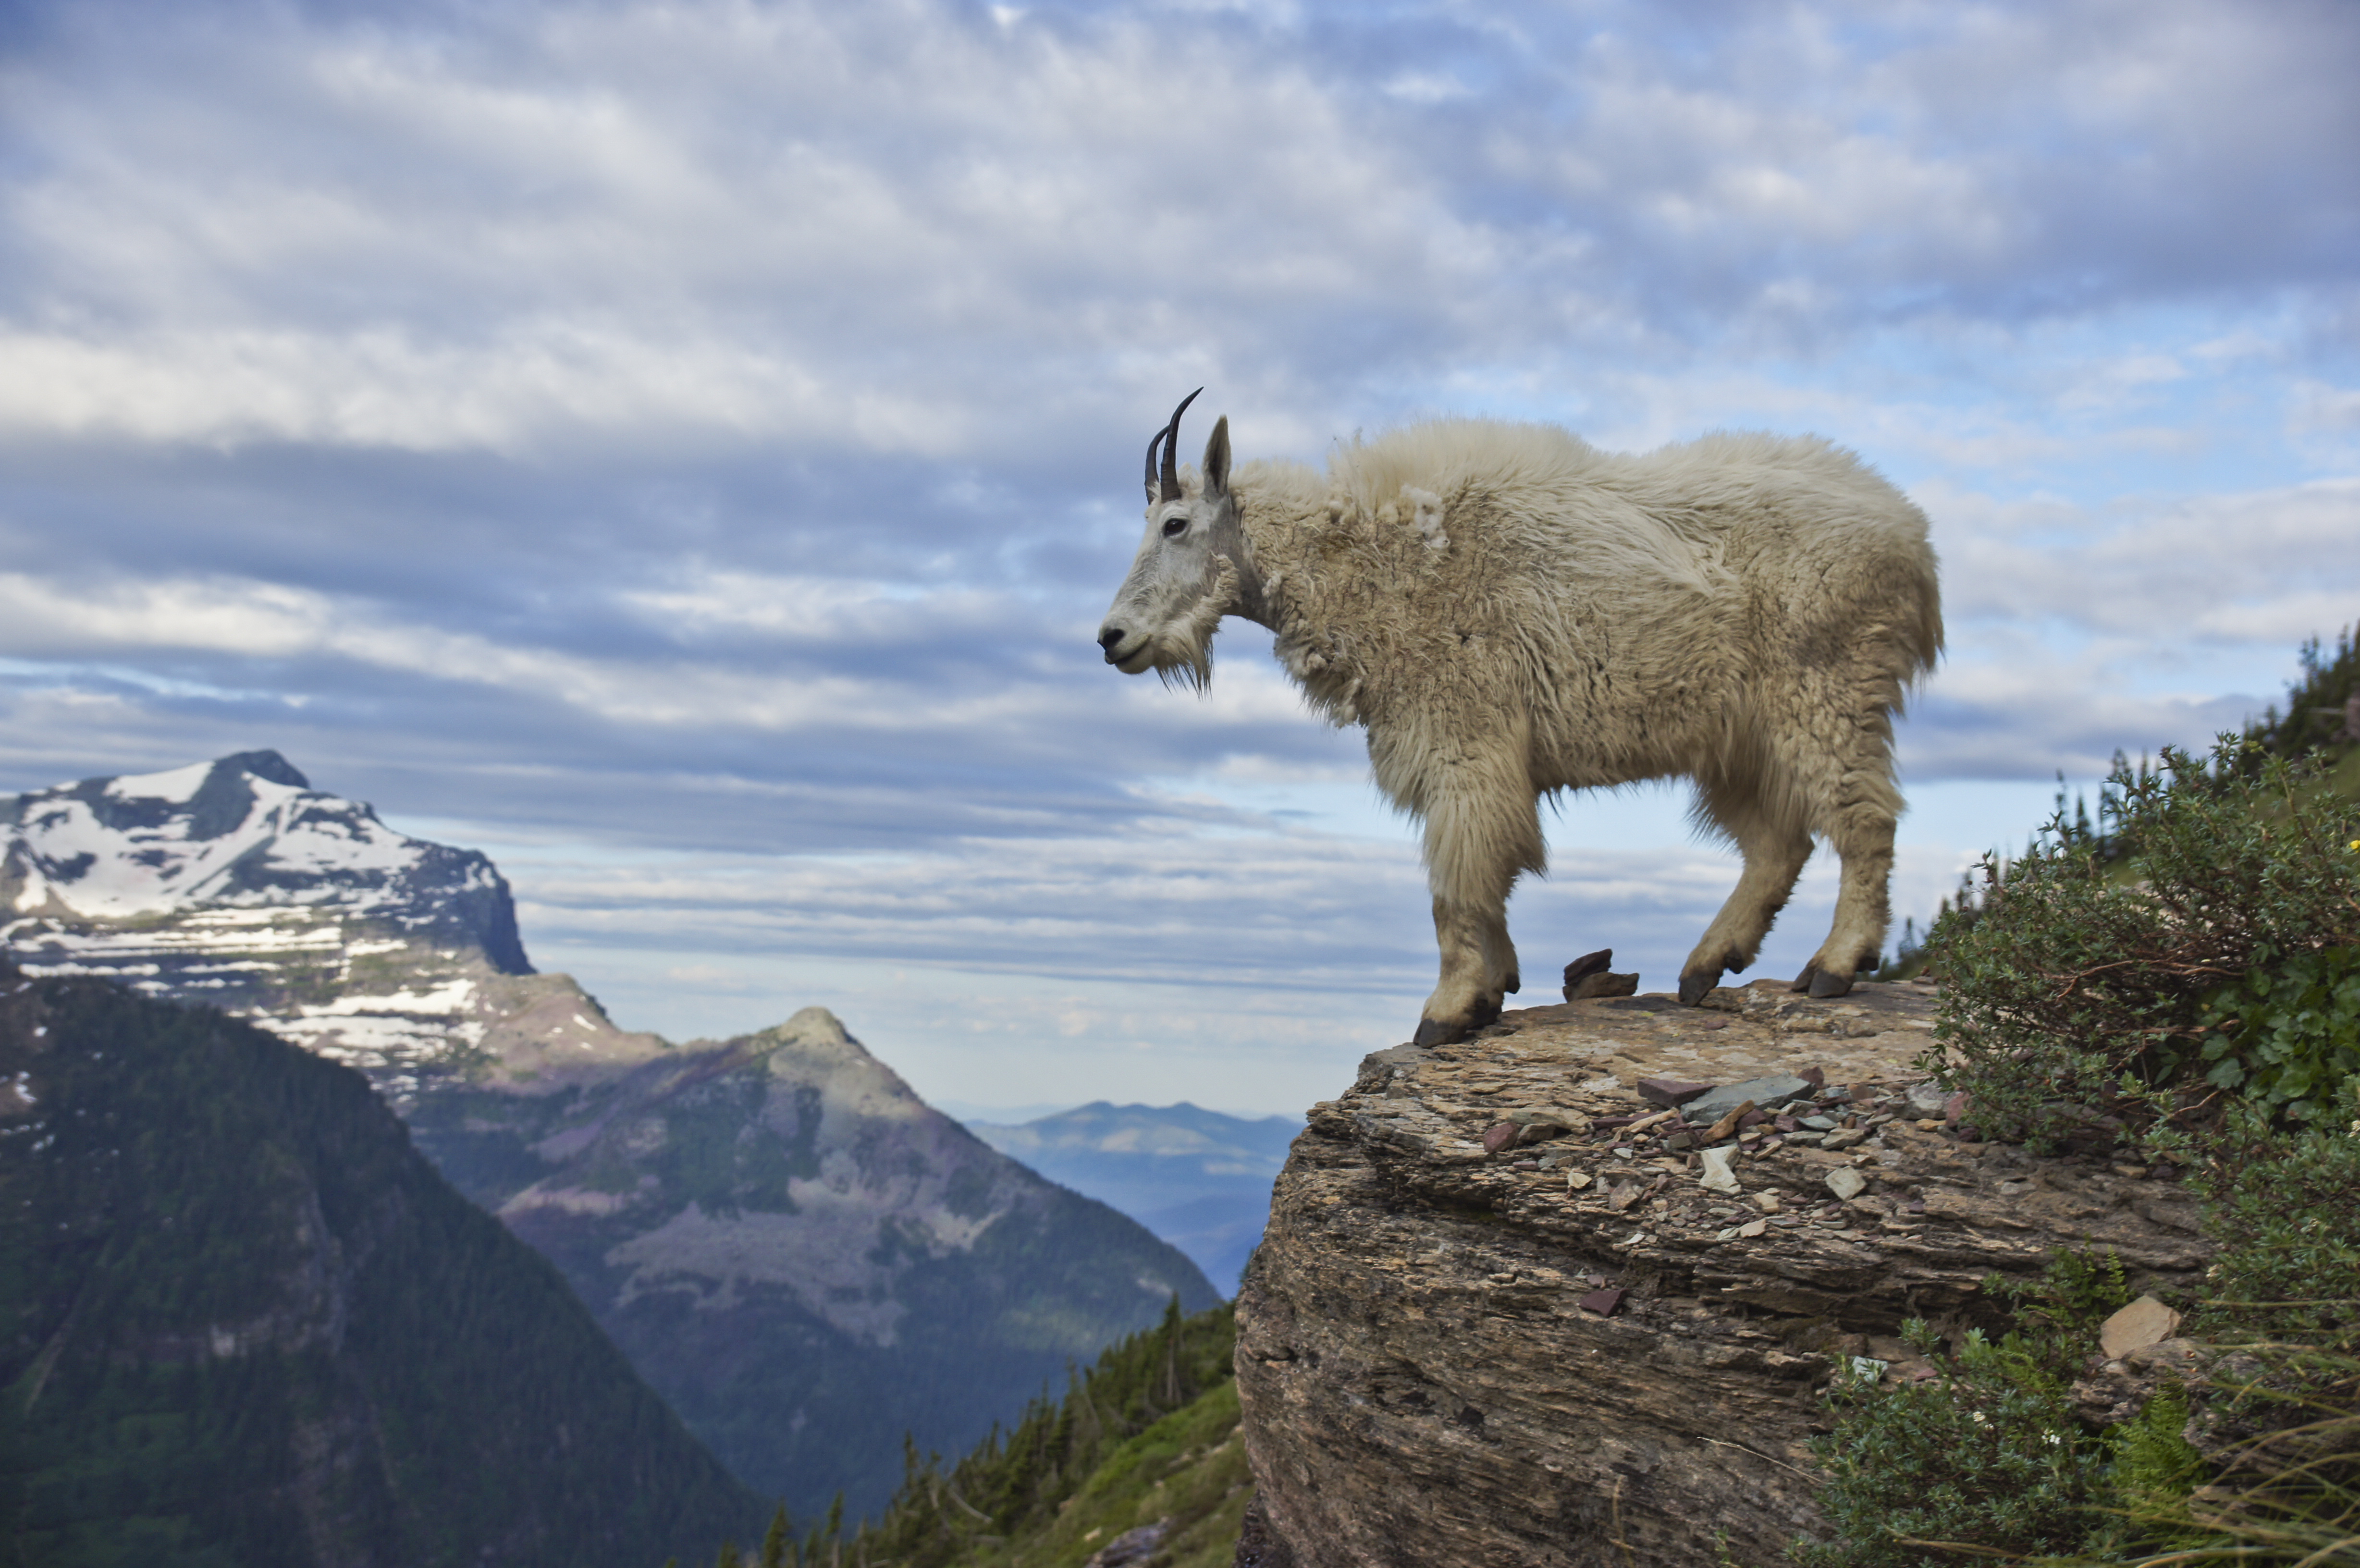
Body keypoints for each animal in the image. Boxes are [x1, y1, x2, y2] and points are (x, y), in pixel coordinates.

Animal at [1098, 393, 1942, 1046]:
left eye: (1174, 524)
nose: (1112, 639)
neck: (1365, 561)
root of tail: (1913, 538)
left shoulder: (1463, 741)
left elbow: (1457, 882)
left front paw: (1449, 1010)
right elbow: (1483, 875)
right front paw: (1497, 985)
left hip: (1826, 690)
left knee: (1863, 819)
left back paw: (1835, 964)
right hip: (1736, 738)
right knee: (1778, 843)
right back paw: (1707, 965)